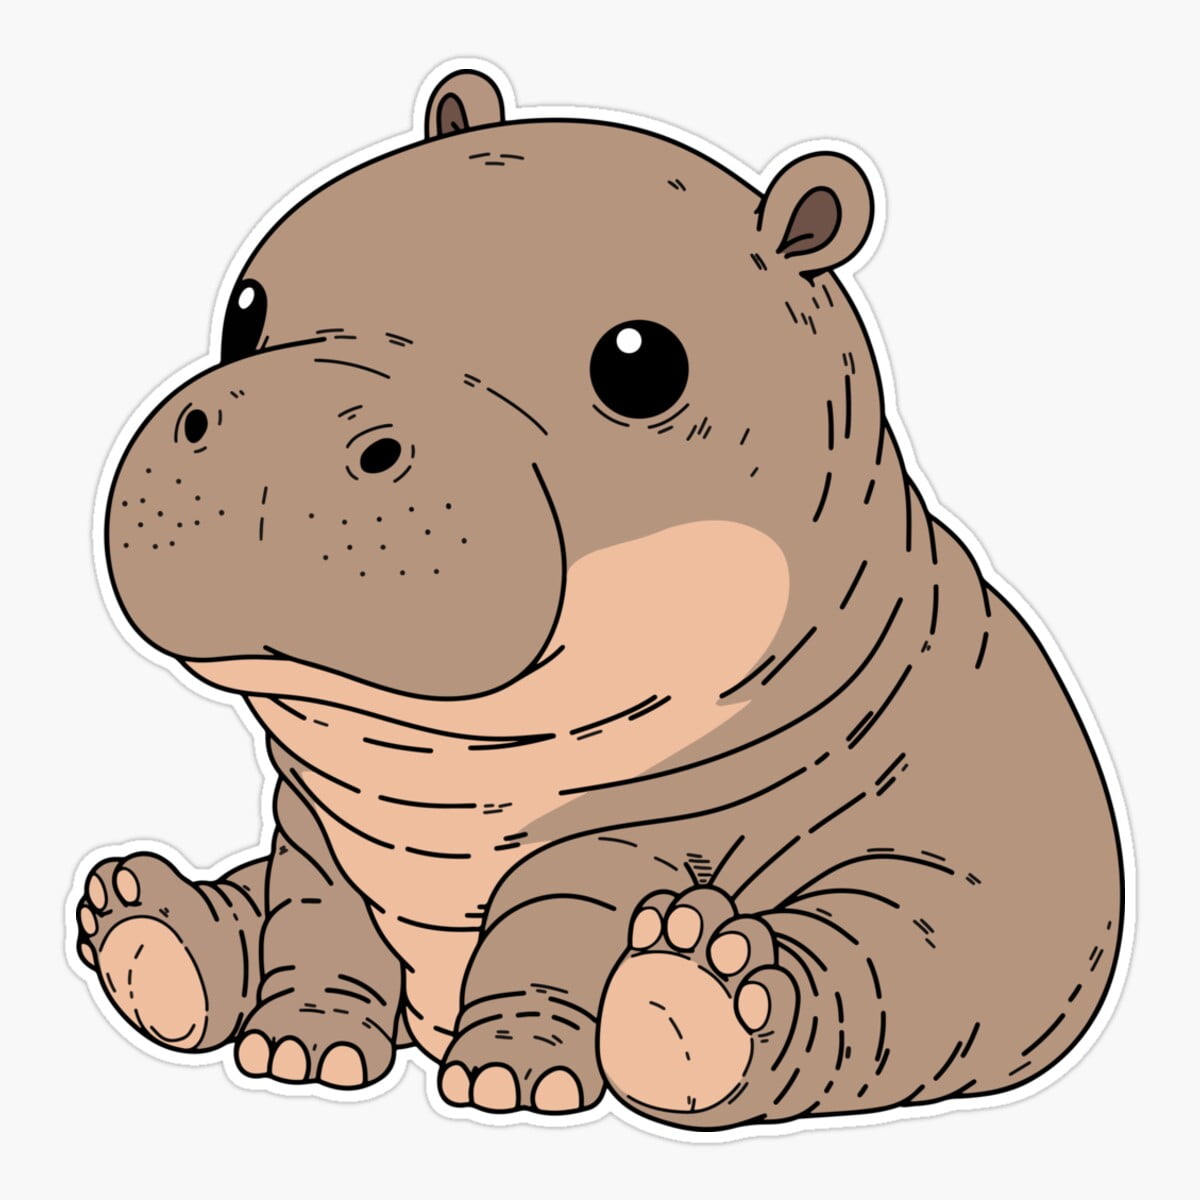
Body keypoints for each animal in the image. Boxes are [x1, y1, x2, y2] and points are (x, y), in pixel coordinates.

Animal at [75, 64, 1125, 1132]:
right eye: (243, 311)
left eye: (641, 362)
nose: (280, 426)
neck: (438, 769)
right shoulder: (314, 822)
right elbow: (314, 922)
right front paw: (300, 1052)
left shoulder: (643, 832)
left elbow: (548, 930)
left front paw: (510, 1083)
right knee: (238, 908)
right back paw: (143, 925)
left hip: (948, 914)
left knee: (853, 979)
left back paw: (695, 989)